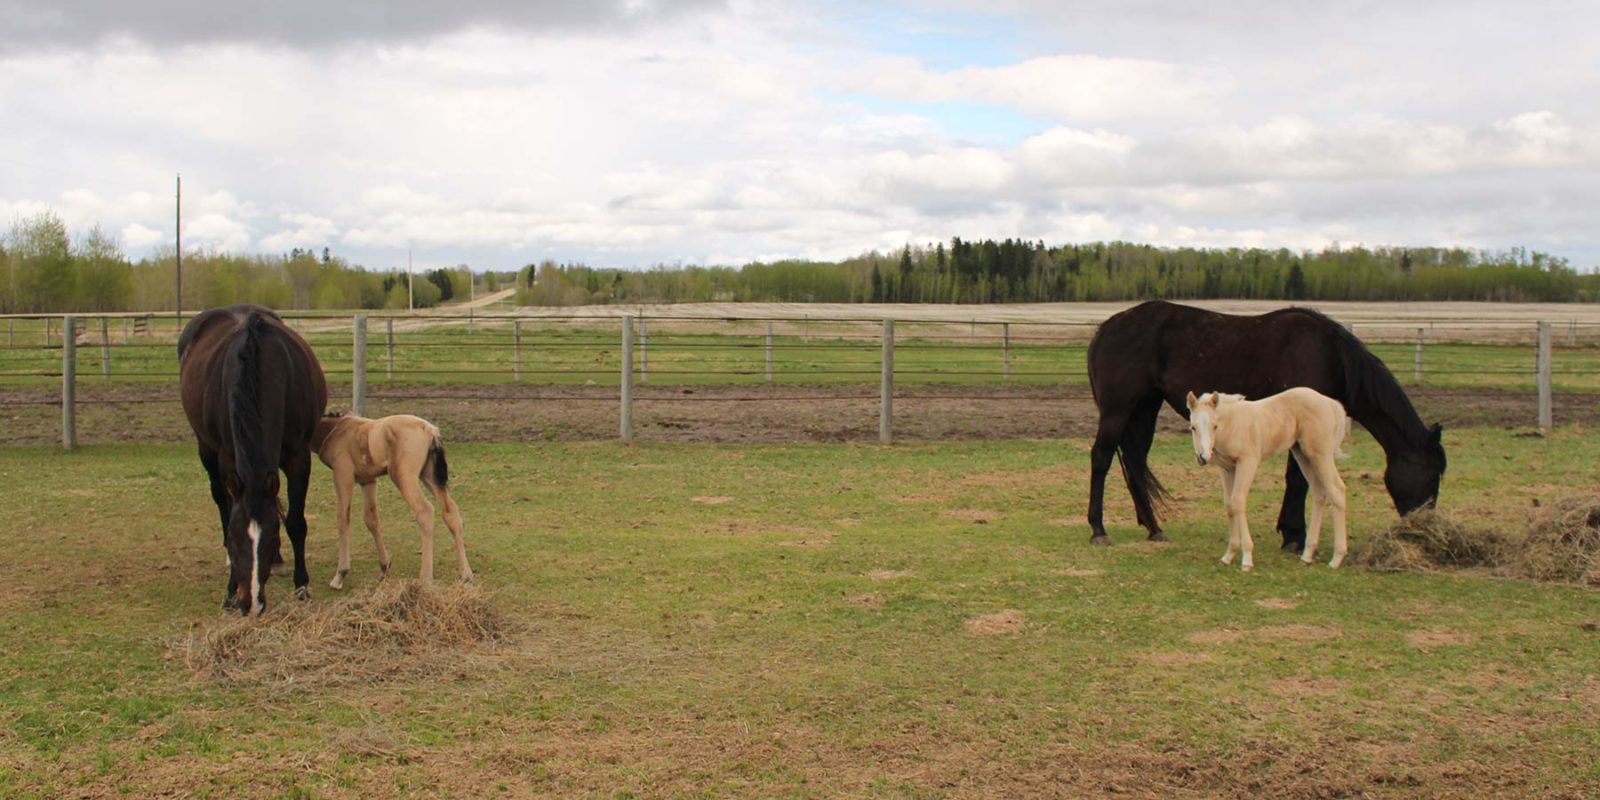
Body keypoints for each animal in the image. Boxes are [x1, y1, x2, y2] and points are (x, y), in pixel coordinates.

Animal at [179, 305, 327, 615]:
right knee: (220, 501)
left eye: (271, 539)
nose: (253, 603)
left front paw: (302, 586)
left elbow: (295, 521)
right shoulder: (227, 459)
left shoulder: (299, 457)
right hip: (206, 450)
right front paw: (230, 593)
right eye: (237, 540)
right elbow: (230, 513)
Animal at [311, 412, 472, 589]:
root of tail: (431, 431)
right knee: (451, 512)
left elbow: (342, 519)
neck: (336, 428)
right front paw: (384, 567)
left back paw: (425, 578)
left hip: (403, 476)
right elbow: (371, 519)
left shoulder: (343, 474)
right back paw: (466, 575)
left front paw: (340, 574)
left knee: (425, 511)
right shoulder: (368, 480)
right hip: (430, 475)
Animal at [1086, 301, 1445, 549]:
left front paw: (1292, 532)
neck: (1328, 355)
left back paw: (1154, 528)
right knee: (1101, 458)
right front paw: (1294, 535)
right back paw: (1099, 530)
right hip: (1118, 409)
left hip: (1145, 408)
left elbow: (1298, 479)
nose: (1423, 527)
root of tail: (1106, 328)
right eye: (1432, 474)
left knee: (1135, 461)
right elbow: (1296, 479)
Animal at [1187, 388, 1351, 571]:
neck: (1232, 425)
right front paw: (1228, 555)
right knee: (1318, 491)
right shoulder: (1227, 469)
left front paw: (1247, 558)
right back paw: (1307, 555)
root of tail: (1329, 402)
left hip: (1320, 454)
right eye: (1193, 427)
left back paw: (1337, 558)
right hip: (1302, 453)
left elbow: (1238, 501)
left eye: (1214, 426)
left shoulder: (1248, 461)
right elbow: (1230, 506)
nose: (1203, 457)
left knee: (1337, 489)